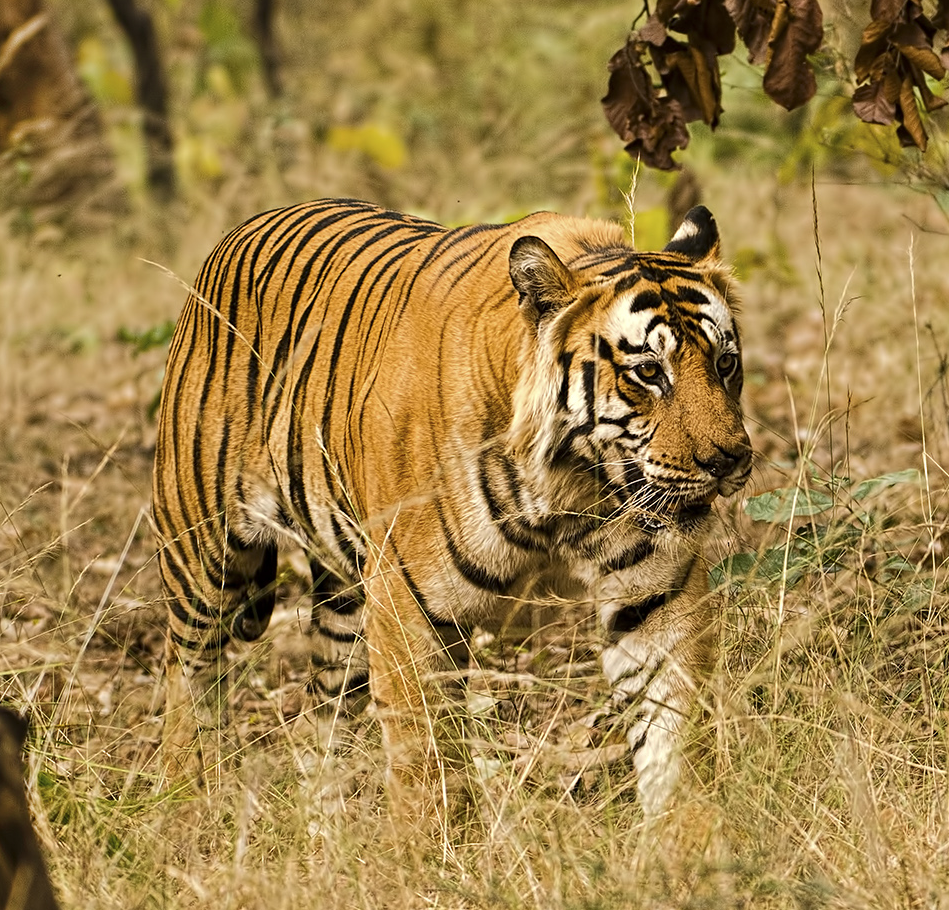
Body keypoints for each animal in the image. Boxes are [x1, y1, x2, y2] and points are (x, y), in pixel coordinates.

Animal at [152, 197, 752, 823]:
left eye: (725, 363)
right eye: (649, 371)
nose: (730, 458)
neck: (570, 489)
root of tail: (243, 229)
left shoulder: (655, 596)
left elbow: (670, 731)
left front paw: (685, 836)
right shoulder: (407, 606)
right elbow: (421, 757)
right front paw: (423, 844)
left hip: (345, 603)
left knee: (327, 707)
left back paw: (328, 820)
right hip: (203, 554)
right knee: (187, 672)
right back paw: (184, 798)